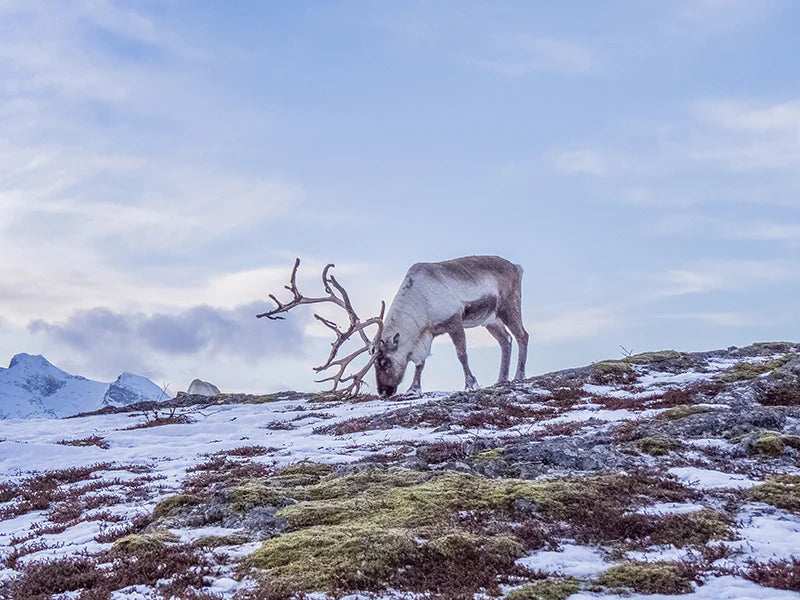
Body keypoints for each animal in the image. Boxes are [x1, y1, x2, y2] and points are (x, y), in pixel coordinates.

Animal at [257, 255, 529, 397]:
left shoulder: (454, 320)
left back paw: (518, 376)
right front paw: (414, 389)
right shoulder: (428, 333)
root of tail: (517, 267)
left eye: (384, 361)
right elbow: (420, 362)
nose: (384, 392)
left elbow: (461, 354)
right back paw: (501, 379)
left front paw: (470, 383)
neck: (420, 302)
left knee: (522, 336)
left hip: (508, 306)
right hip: (490, 319)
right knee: (506, 340)